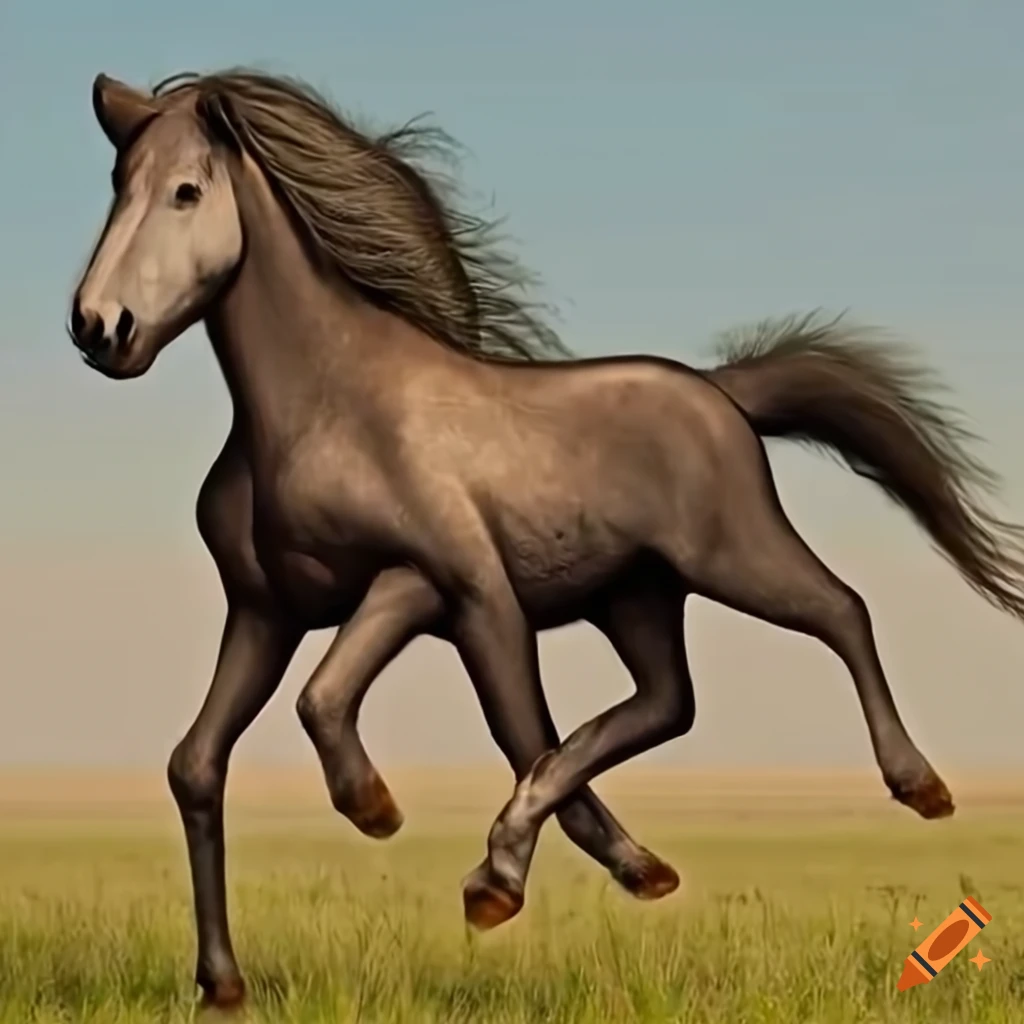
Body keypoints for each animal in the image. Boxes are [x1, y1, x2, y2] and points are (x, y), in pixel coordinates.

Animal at [68, 68, 1024, 1009]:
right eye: (117, 183)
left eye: (187, 191)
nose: (98, 327)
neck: (320, 410)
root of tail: (720, 393)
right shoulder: (266, 612)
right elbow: (197, 764)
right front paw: (223, 983)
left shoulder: (447, 588)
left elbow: (363, 704)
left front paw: (394, 819)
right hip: (635, 598)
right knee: (667, 702)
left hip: (736, 556)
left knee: (840, 610)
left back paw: (921, 785)